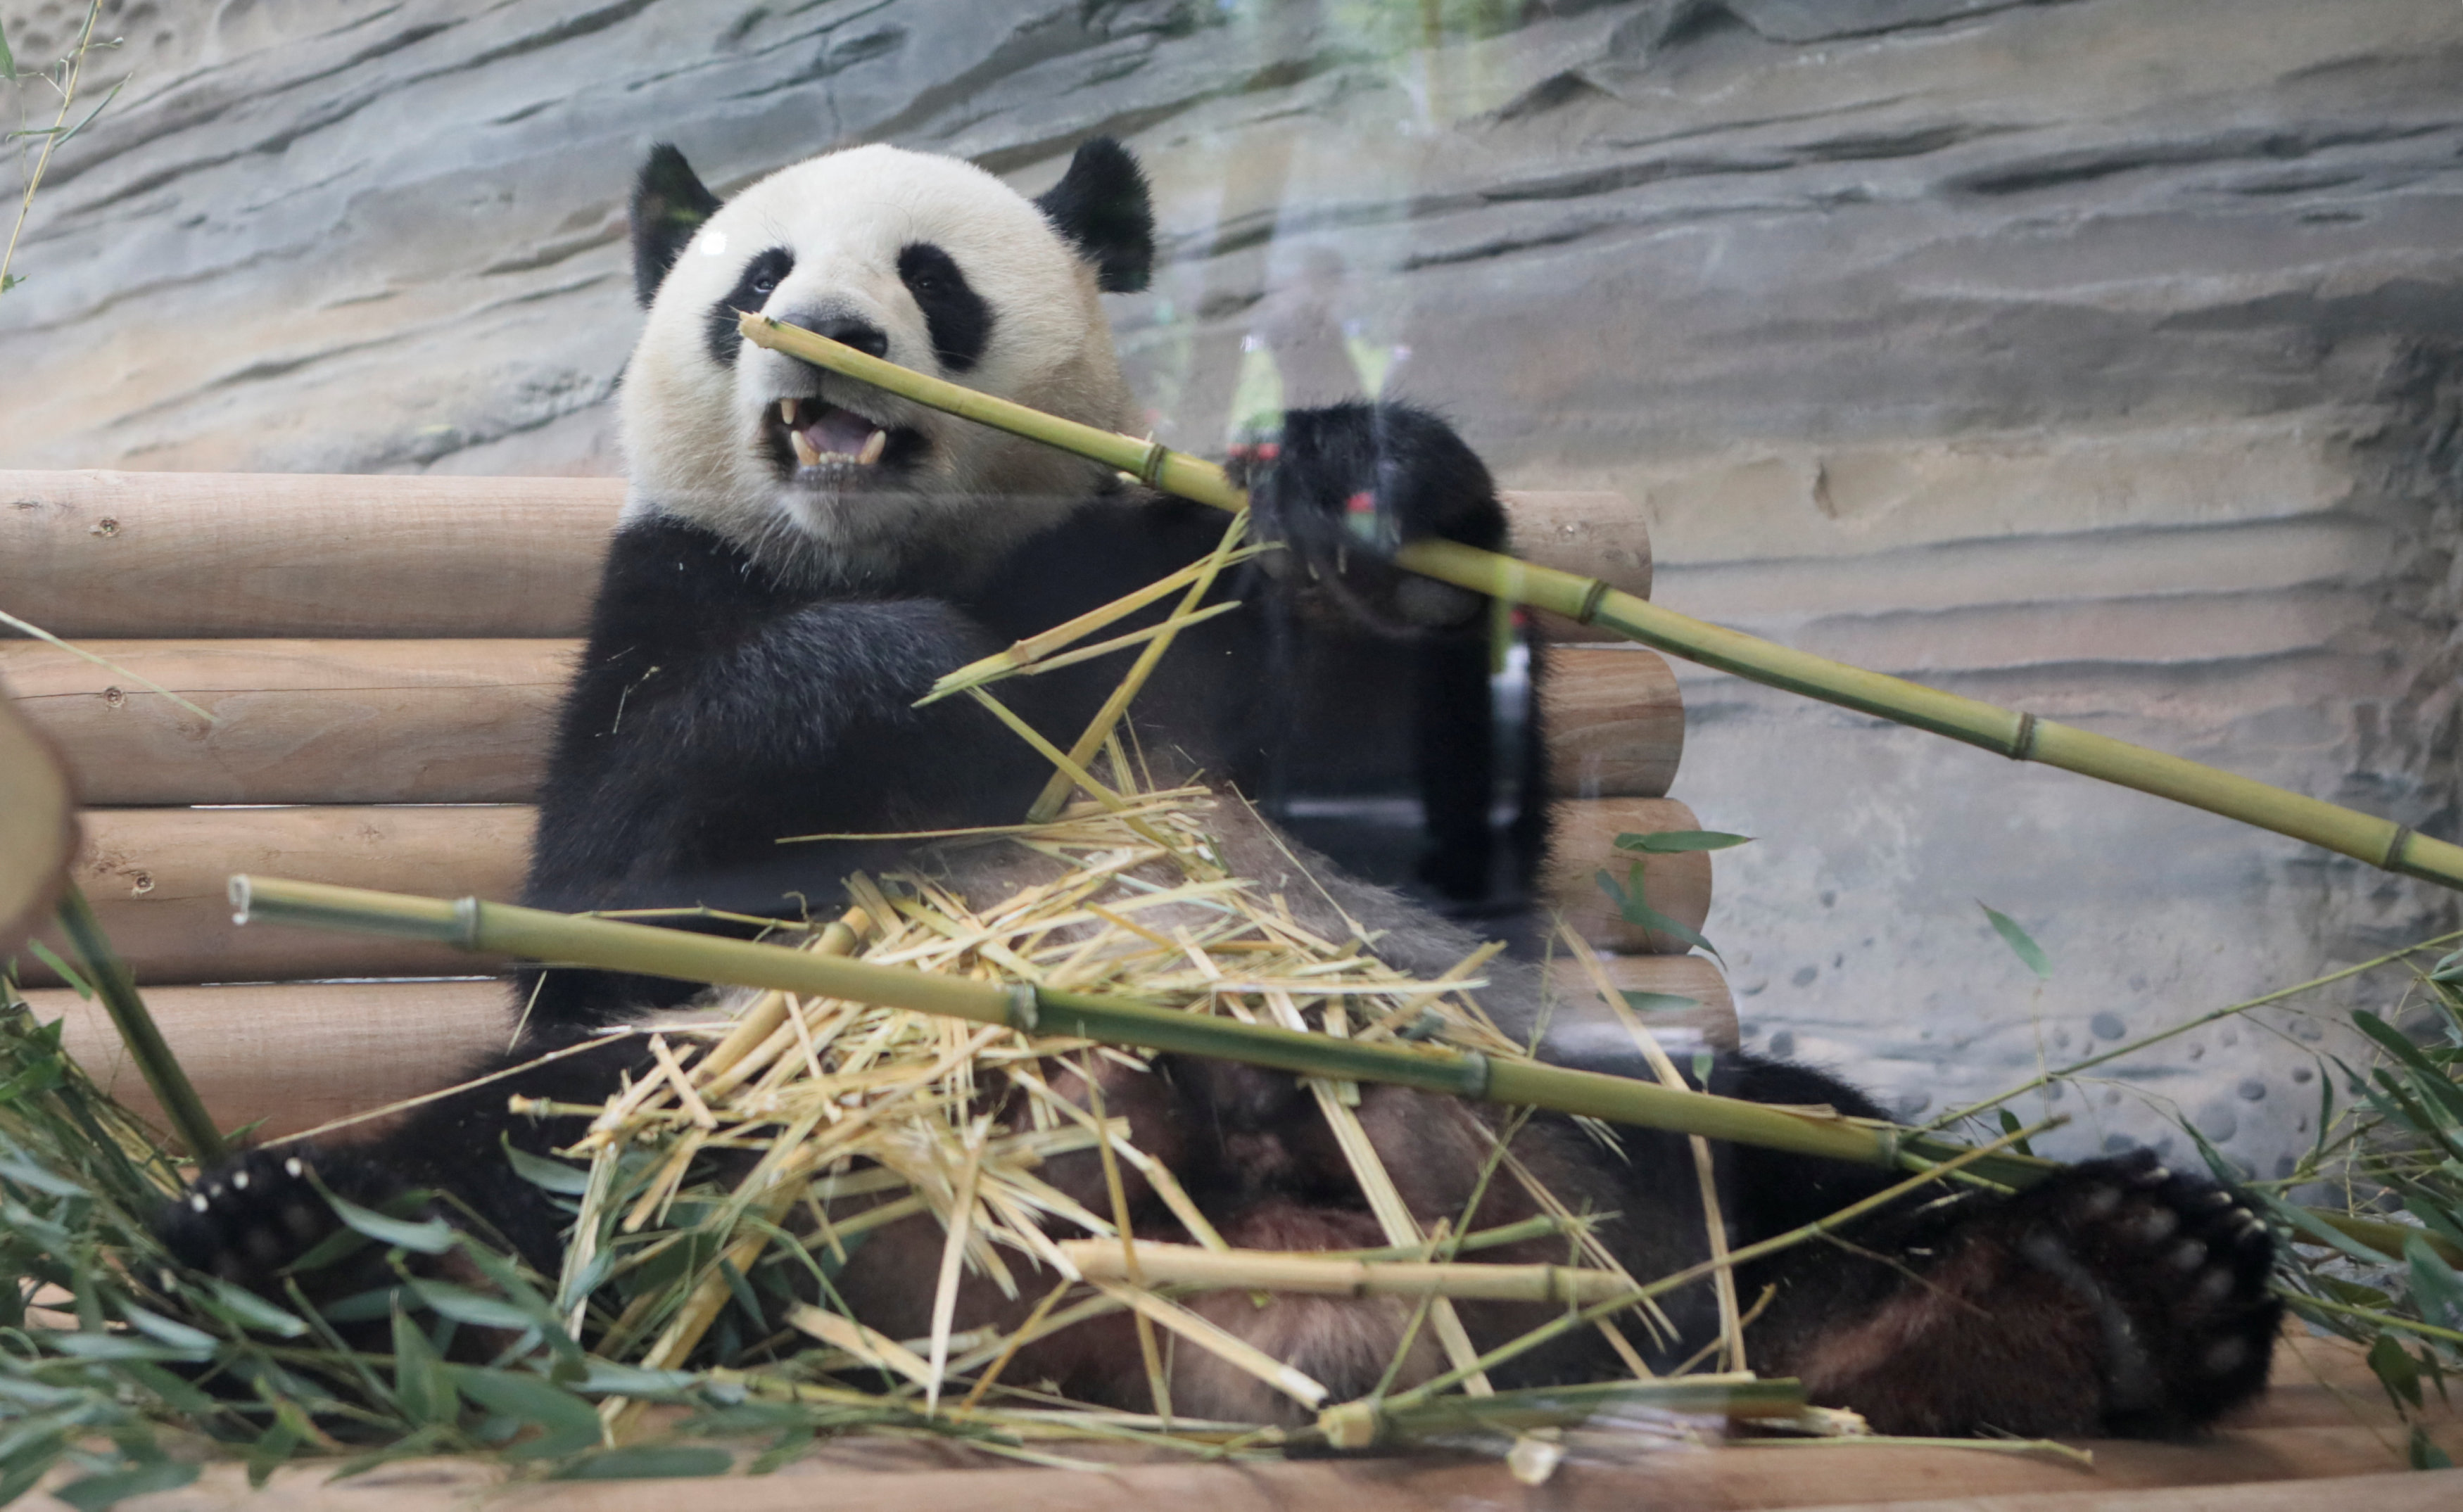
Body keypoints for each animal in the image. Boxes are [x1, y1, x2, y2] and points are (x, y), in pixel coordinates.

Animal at [157, 137, 2282, 1440]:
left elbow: (1394, 799)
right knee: (563, 1159)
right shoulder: (658, 615)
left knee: (1794, 1177)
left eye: (925, 276)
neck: (907, 544)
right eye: (752, 273)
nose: (828, 342)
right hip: (747, 1142)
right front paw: (901, 676)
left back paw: (2109, 1291)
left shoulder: (1155, 564)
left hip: (1576, 1113)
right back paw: (294, 1261)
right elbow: (624, 895)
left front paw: (1367, 500)